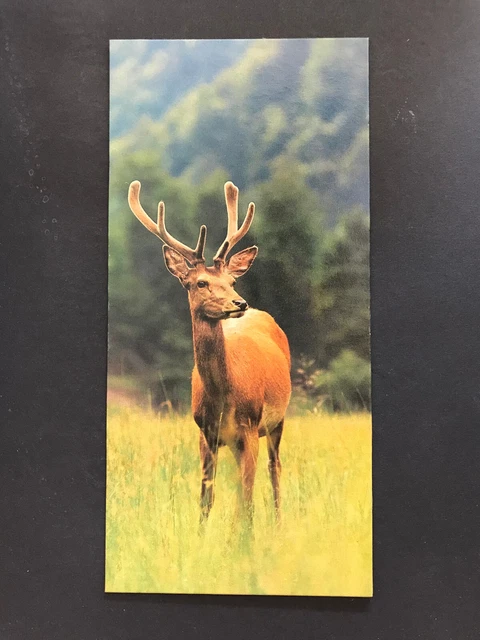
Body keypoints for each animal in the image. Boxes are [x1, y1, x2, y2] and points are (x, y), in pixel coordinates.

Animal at [128, 179, 291, 524]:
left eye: (231, 280)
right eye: (201, 283)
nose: (239, 303)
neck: (223, 398)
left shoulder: (249, 426)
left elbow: (246, 500)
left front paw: (245, 537)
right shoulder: (205, 433)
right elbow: (206, 499)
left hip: (276, 419)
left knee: (274, 470)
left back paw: (279, 523)